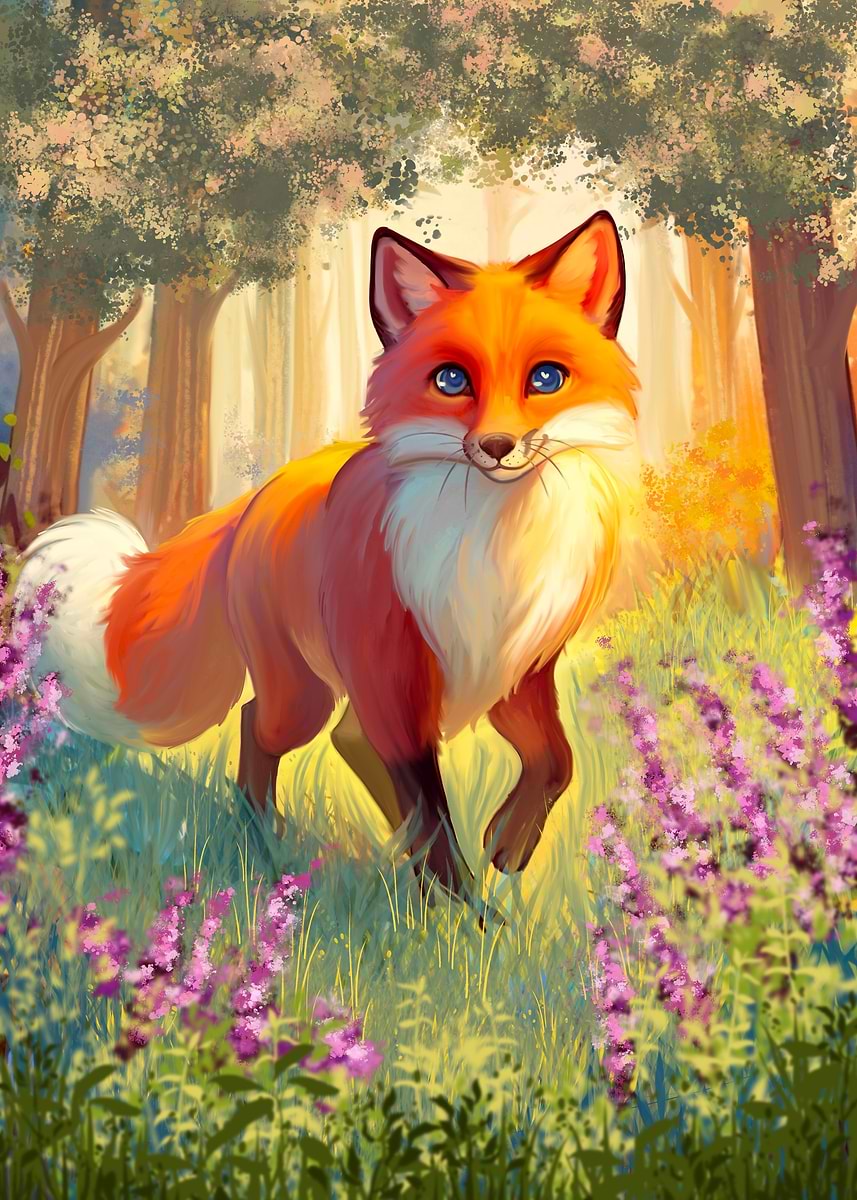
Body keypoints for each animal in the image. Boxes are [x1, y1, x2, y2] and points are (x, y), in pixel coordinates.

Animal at [18, 210, 639, 891]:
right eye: (451, 380)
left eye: (545, 378)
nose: (498, 446)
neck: (493, 548)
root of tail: (260, 495)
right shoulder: (393, 688)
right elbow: (433, 826)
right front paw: (467, 912)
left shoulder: (516, 671)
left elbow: (557, 761)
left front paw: (509, 843)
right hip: (303, 698)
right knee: (261, 728)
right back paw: (264, 848)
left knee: (318, 737)